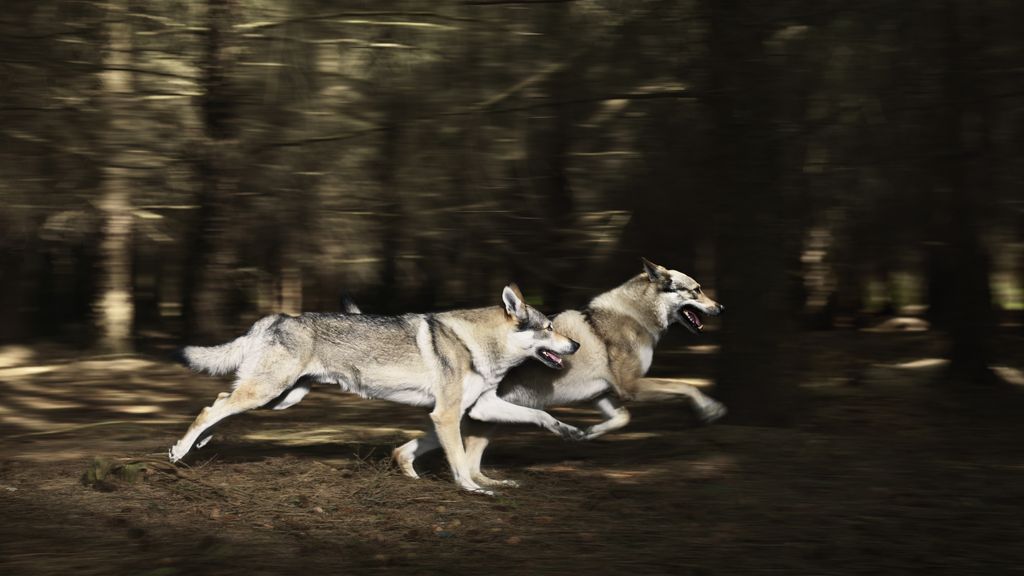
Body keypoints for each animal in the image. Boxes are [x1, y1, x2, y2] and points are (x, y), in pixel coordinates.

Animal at [169, 284, 582, 494]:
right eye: (548, 328)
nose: (576, 345)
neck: (479, 346)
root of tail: (274, 317)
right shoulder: (447, 413)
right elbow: (460, 460)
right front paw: (474, 490)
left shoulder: (472, 409)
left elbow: (540, 414)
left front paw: (571, 431)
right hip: (269, 392)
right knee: (211, 408)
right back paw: (179, 451)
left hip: (280, 398)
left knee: (219, 404)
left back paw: (200, 443)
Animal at [388, 259, 727, 488]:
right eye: (697, 290)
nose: (721, 307)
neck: (634, 317)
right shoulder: (631, 387)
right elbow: (686, 387)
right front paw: (711, 408)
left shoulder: (603, 395)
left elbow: (621, 418)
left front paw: (586, 433)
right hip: (486, 418)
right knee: (466, 463)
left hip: (478, 417)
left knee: (410, 450)